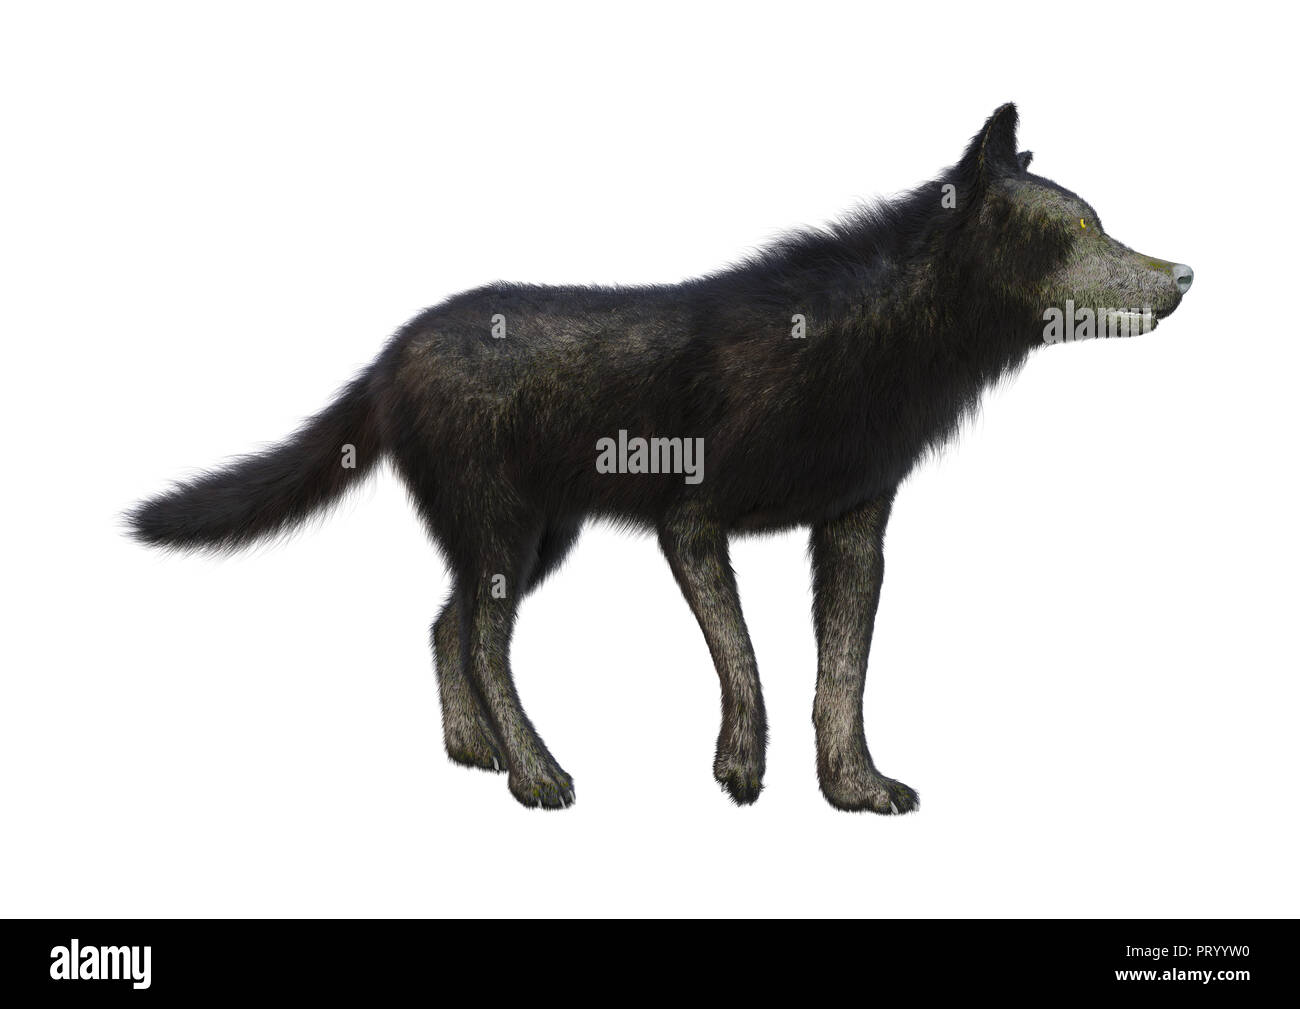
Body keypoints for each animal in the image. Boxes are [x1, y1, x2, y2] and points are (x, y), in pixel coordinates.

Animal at [130, 104, 1194, 812]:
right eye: (1082, 229)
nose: (1184, 274)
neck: (862, 346)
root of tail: (393, 350)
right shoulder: (690, 523)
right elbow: (748, 659)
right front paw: (741, 769)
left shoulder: (853, 530)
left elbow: (842, 675)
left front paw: (854, 788)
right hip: (508, 534)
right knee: (480, 640)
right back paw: (536, 773)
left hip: (535, 539)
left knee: (444, 626)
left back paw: (476, 752)